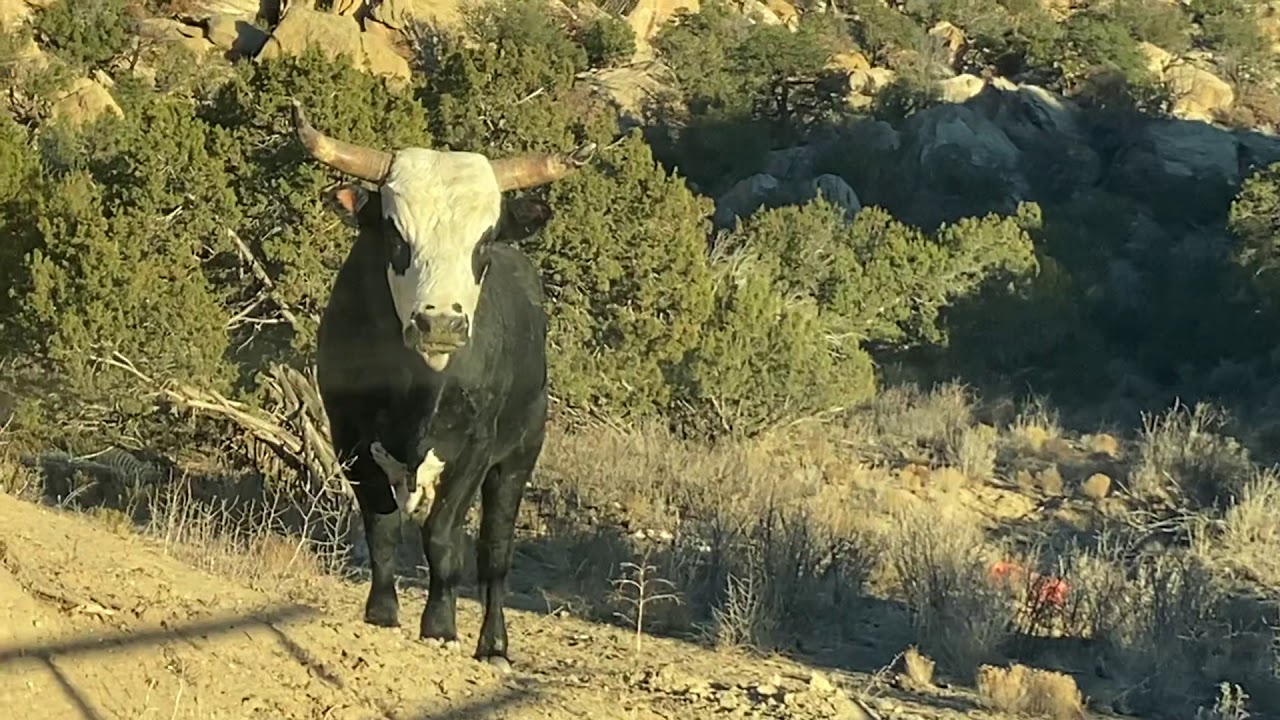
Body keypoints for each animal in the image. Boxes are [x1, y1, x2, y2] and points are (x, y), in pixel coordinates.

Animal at [290, 100, 596, 671]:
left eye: (485, 240)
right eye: (396, 236)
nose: (441, 324)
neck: (416, 387)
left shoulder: (475, 447)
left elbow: (444, 536)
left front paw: (440, 624)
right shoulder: (349, 436)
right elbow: (382, 523)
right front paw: (383, 612)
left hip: (520, 452)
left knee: (494, 551)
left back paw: (493, 644)